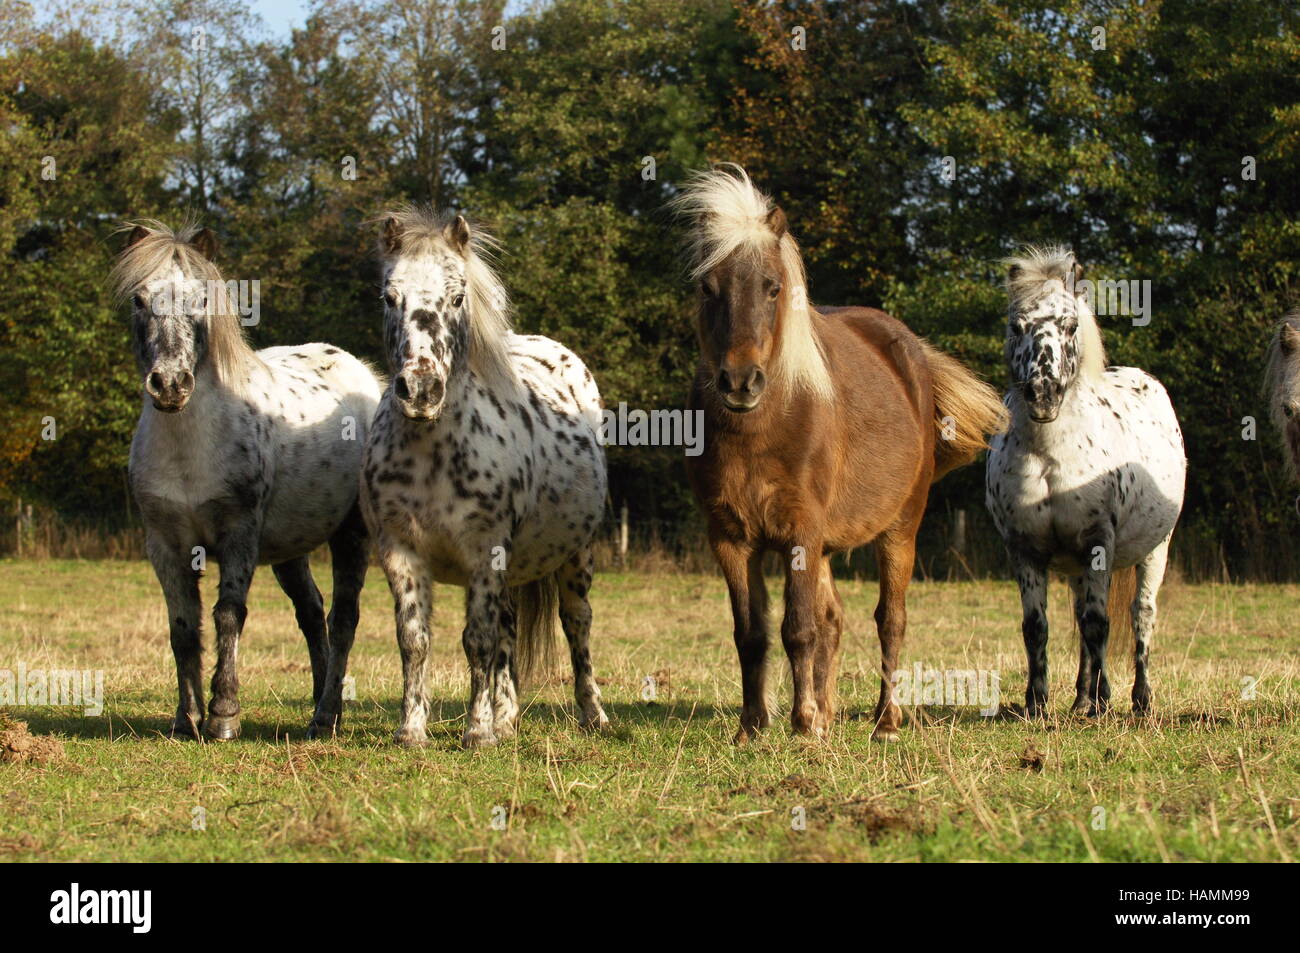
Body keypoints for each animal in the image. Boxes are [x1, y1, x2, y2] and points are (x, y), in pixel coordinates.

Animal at [112, 221, 383, 740]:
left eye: (201, 299)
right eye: (139, 299)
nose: (170, 384)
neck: (190, 448)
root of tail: (365, 378)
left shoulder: (238, 533)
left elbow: (227, 614)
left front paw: (223, 715)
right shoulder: (164, 544)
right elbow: (183, 625)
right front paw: (186, 719)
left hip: (350, 534)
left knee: (343, 618)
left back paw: (326, 717)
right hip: (290, 548)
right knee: (311, 612)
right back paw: (321, 703)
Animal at [361, 205, 610, 749]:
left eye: (457, 297)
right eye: (389, 297)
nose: (420, 389)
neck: (432, 455)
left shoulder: (484, 552)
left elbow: (477, 642)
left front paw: (476, 733)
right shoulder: (400, 552)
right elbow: (415, 641)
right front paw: (412, 730)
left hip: (576, 558)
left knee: (577, 626)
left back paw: (593, 715)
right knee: (509, 635)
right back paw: (508, 719)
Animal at [672, 165, 1008, 743]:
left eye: (773, 287)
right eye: (706, 287)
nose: (740, 381)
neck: (761, 428)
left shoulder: (801, 532)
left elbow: (798, 629)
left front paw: (803, 725)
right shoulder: (731, 539)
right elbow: (752, 634)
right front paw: (753, 727)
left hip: (899, 530)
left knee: (889, 620)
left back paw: (885, 720)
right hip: (827, 544)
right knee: (834, 621)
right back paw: (829, 713)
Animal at [985, 246, 1186, 718]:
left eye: (1071, 325)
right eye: (1016, 325)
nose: (1043, 395)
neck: (1050, 455)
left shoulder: (1098, 541)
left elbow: (1099, 625)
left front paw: (1101, 706)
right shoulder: (1024, 548)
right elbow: (1037, 627)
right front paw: (1037, 703)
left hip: (1155, 550)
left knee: (1138, 615)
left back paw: (1137, 701)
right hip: (1079, 565)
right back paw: (1081, 697)